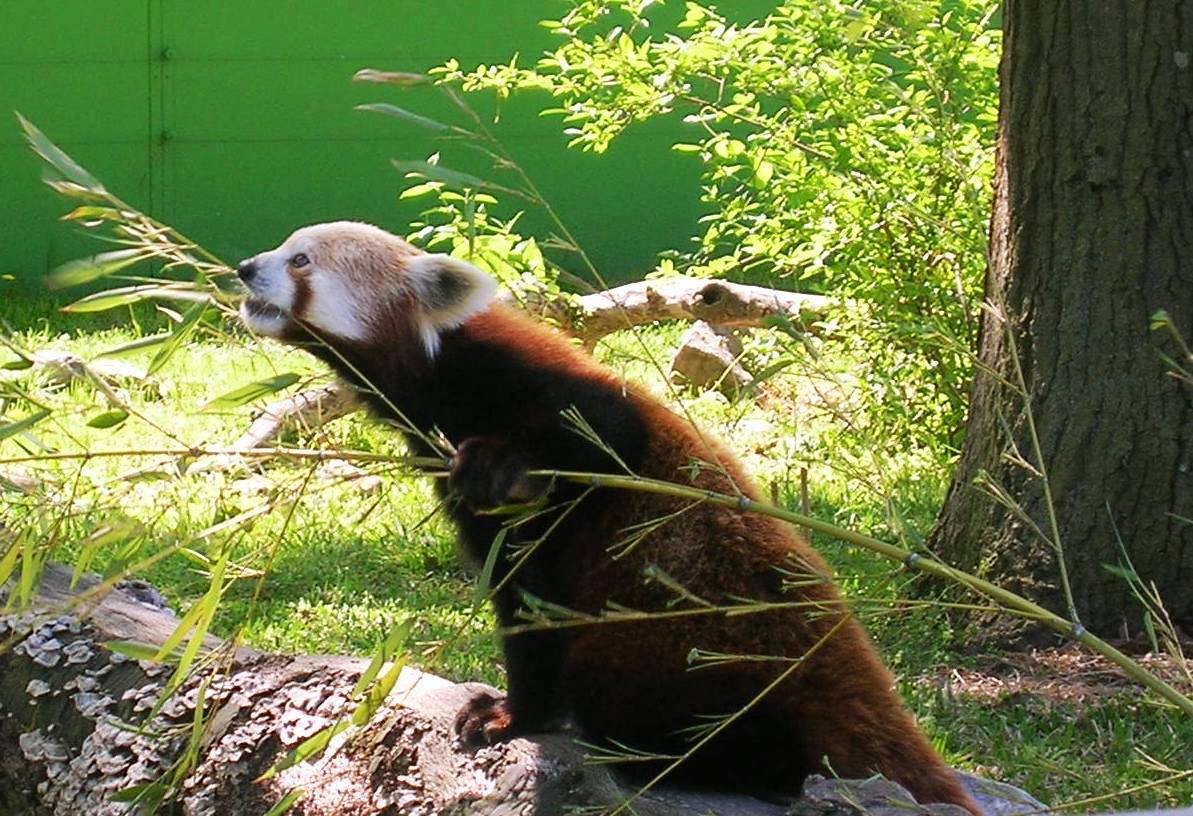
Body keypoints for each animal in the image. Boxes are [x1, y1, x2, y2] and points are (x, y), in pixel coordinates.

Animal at [237, 221, 979, 814]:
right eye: (281, 248)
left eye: (301, 260)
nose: (243, 267)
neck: (432, 380)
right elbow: (523, 596)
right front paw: (517, 709)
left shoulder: (534, 387)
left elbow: (603, 436)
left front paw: (511, 714)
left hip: (688, 656)